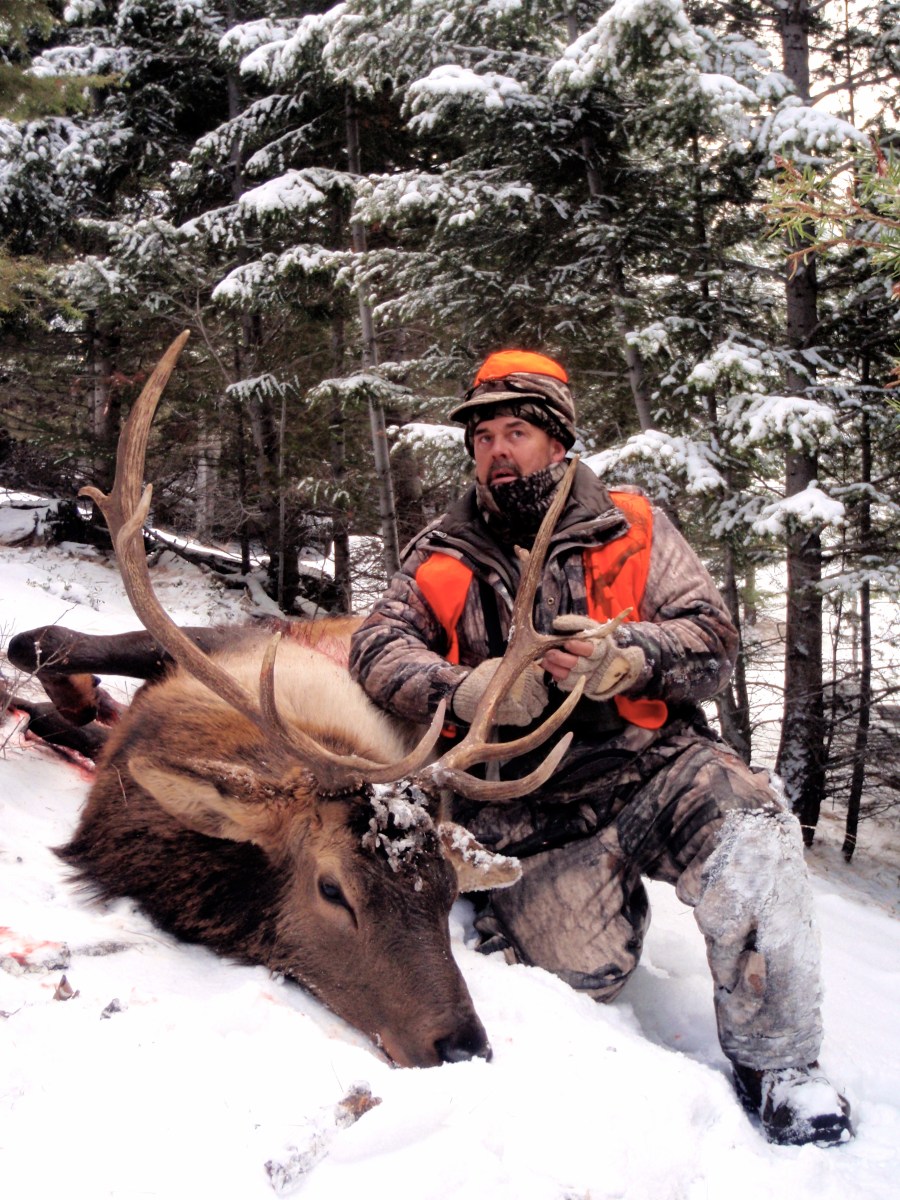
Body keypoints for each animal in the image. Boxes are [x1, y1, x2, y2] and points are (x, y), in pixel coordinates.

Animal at [6, 332, 605, 1068]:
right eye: (332, 889)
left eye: (446, 894)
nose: (464, 1047)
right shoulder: (231, 639)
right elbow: (45, 641)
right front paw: (68, 693)